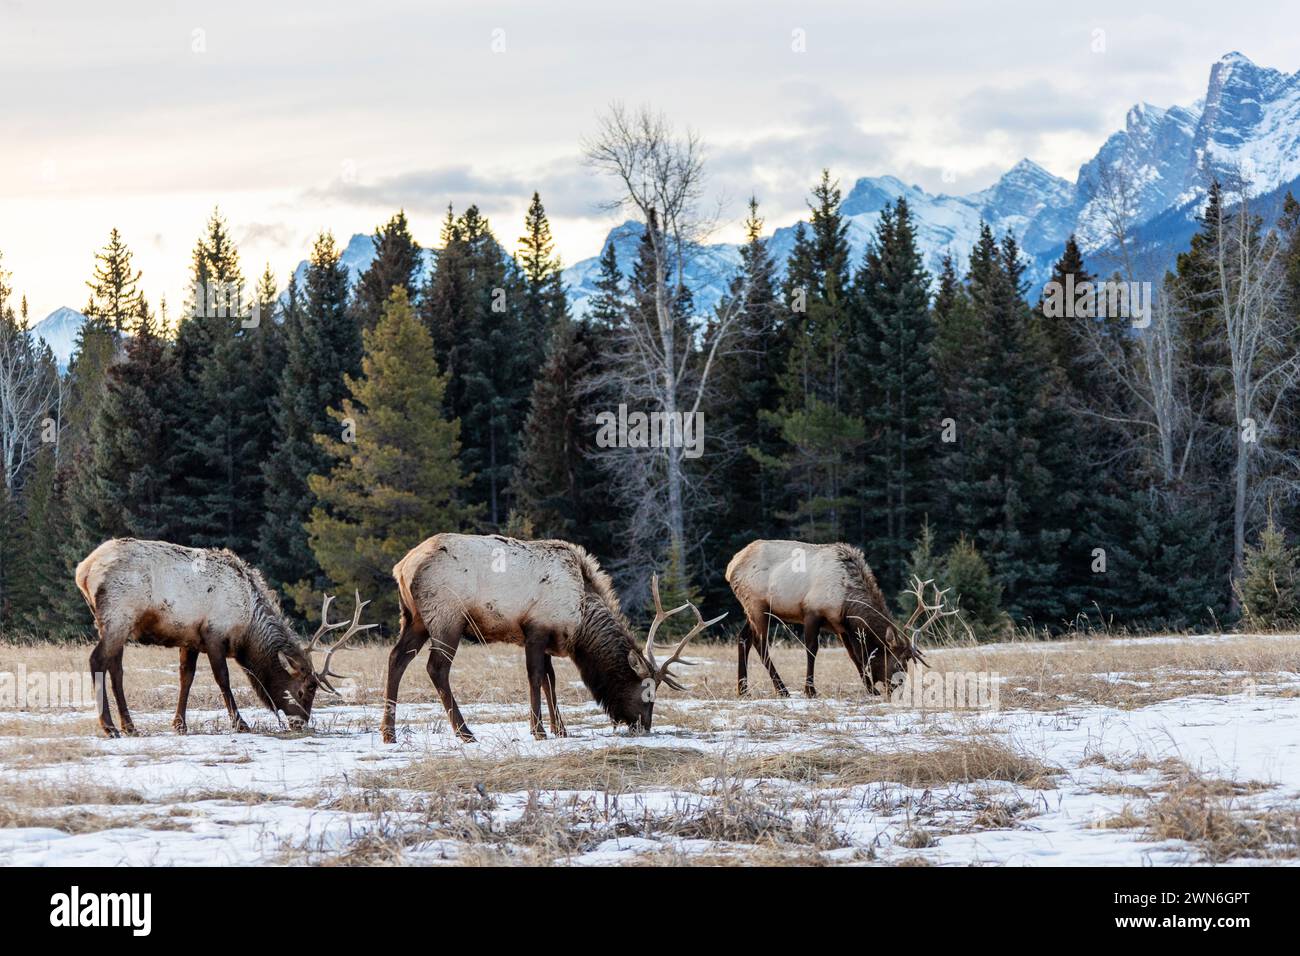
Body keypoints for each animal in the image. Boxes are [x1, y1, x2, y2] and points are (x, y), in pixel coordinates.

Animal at [75, 538, 373, 737]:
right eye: (305, 689)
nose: (301, 723)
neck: (247, 627)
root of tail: (84, 571)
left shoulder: (189, 638)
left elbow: (186, 677)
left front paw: (180, 724)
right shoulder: (214, 634)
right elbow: (223, 679)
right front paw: (240, 723)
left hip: (117, 624)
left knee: (116, 668)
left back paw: (130, 726)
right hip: (118, 615)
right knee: (96, 660)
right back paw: (110, 727)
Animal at [381, 533, 724, 743]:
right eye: (648, 694)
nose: (644, 727)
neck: (580, 619)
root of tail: (402, 567)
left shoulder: (546, 638)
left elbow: (550, 680)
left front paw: (561, 729)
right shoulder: (535, 630)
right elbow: (535, 677)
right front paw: (538, 729)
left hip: (414, 619)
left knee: (396, 658)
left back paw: (389, 732)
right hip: (446, 617)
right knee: (436, 668)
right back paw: (465, 732)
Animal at [726, 539, 946, 698]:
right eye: (899, 663)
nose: (899, 688)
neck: (846, 600)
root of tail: (731, 566)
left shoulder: (841, 625)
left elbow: (855, 655)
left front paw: (870, 689)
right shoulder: (812, 612)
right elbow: (812, 649)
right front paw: (810, 690)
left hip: (751, 610)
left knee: (743, 638)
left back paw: (743, 689)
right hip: (757, 605)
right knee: (761, 644)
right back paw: (782, 690)